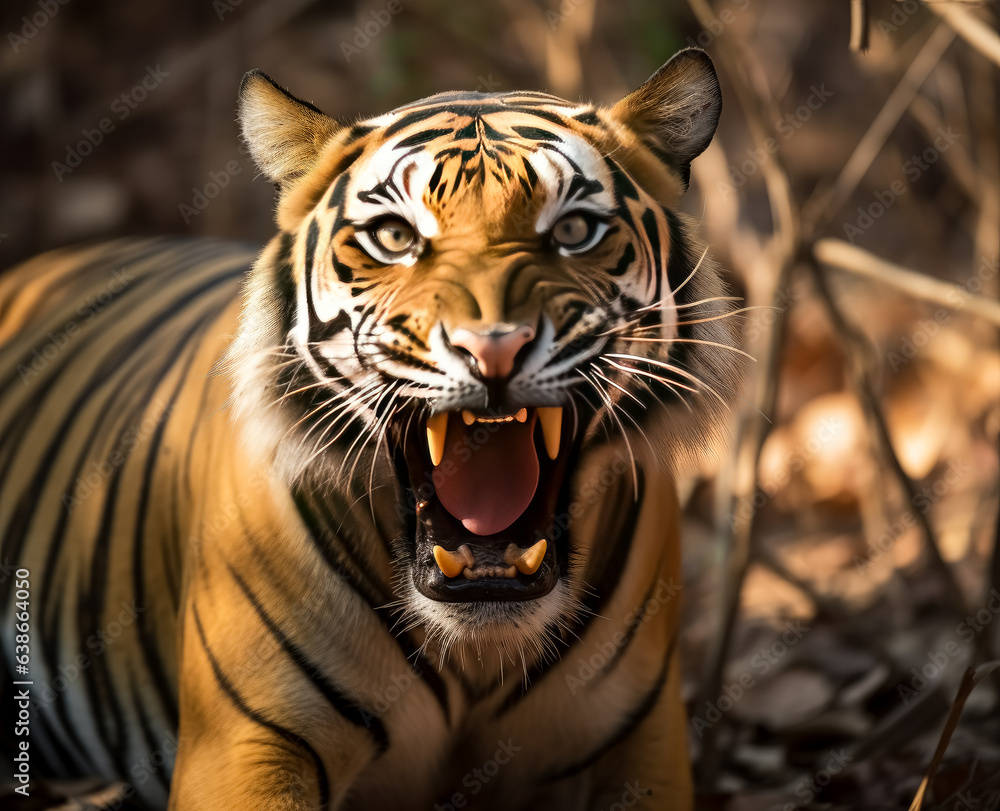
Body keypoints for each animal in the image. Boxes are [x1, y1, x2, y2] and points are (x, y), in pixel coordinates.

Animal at [0, 47, 741, 810]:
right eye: (395, 237)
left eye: (572, 231)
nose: (495, 347)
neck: (477, 656)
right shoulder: (245, 742)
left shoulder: (640, 743)